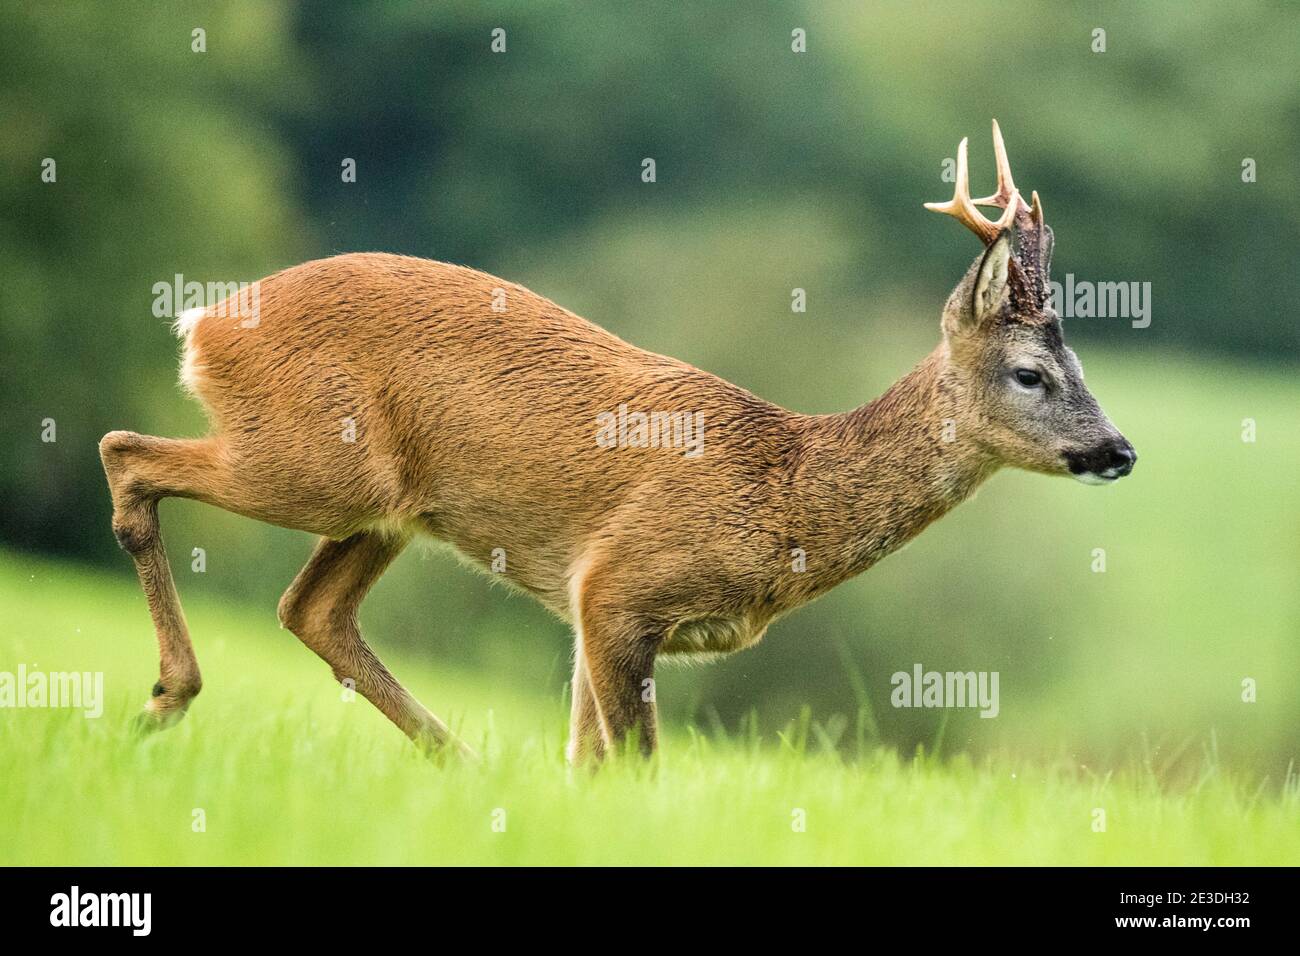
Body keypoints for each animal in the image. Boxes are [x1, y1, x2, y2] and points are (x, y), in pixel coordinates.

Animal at [100, 121, 1135, 763]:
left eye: (1081, 363)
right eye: (1031, 374)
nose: (1119, 451)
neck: (785, 495)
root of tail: (205, 322)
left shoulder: (592, 608)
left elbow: (586, 764)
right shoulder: (618, 587)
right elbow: (634, 767)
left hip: (384, 507)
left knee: (310, 609)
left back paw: (462, 765)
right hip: (316, 461)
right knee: (127, 452)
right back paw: (167, 696)